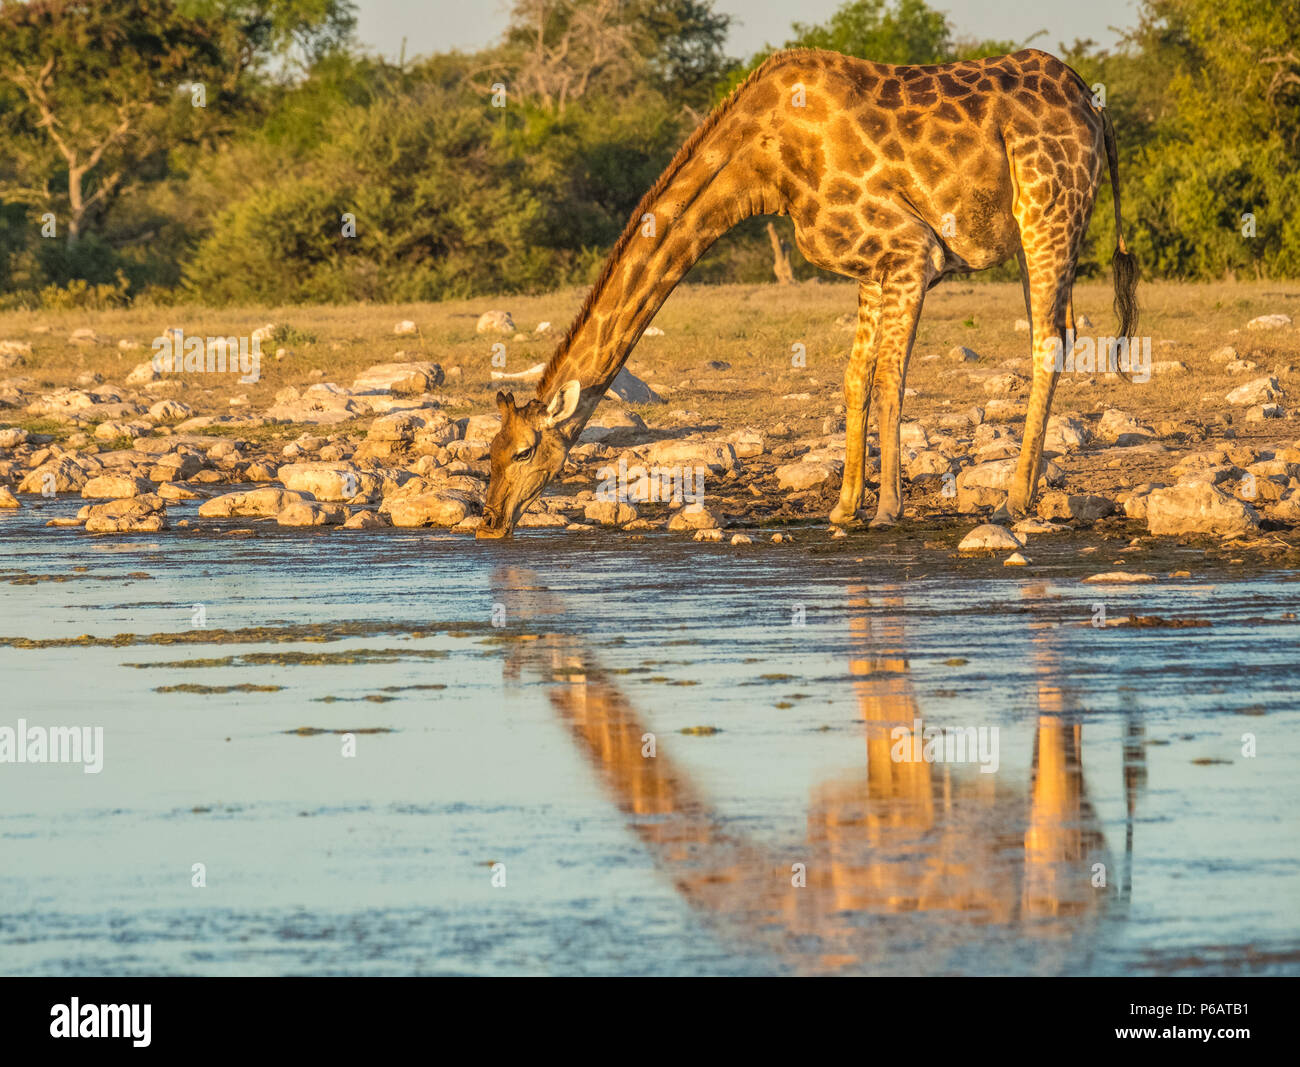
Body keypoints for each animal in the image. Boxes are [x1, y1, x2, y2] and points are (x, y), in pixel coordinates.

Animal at [478, 47, 1138, 538]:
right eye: (489, 451)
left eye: (523, 452)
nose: (489, 521)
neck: (764, 164)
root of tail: (1095, 107)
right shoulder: (871, 268)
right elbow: (854, 377)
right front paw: (844, 508)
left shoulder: (910, 249)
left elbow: (889, 377)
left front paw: (888, 509)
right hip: (1042, 232)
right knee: (1061, 333)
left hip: (1048, 213)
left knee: (1048, 340)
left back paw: (1013, 502)